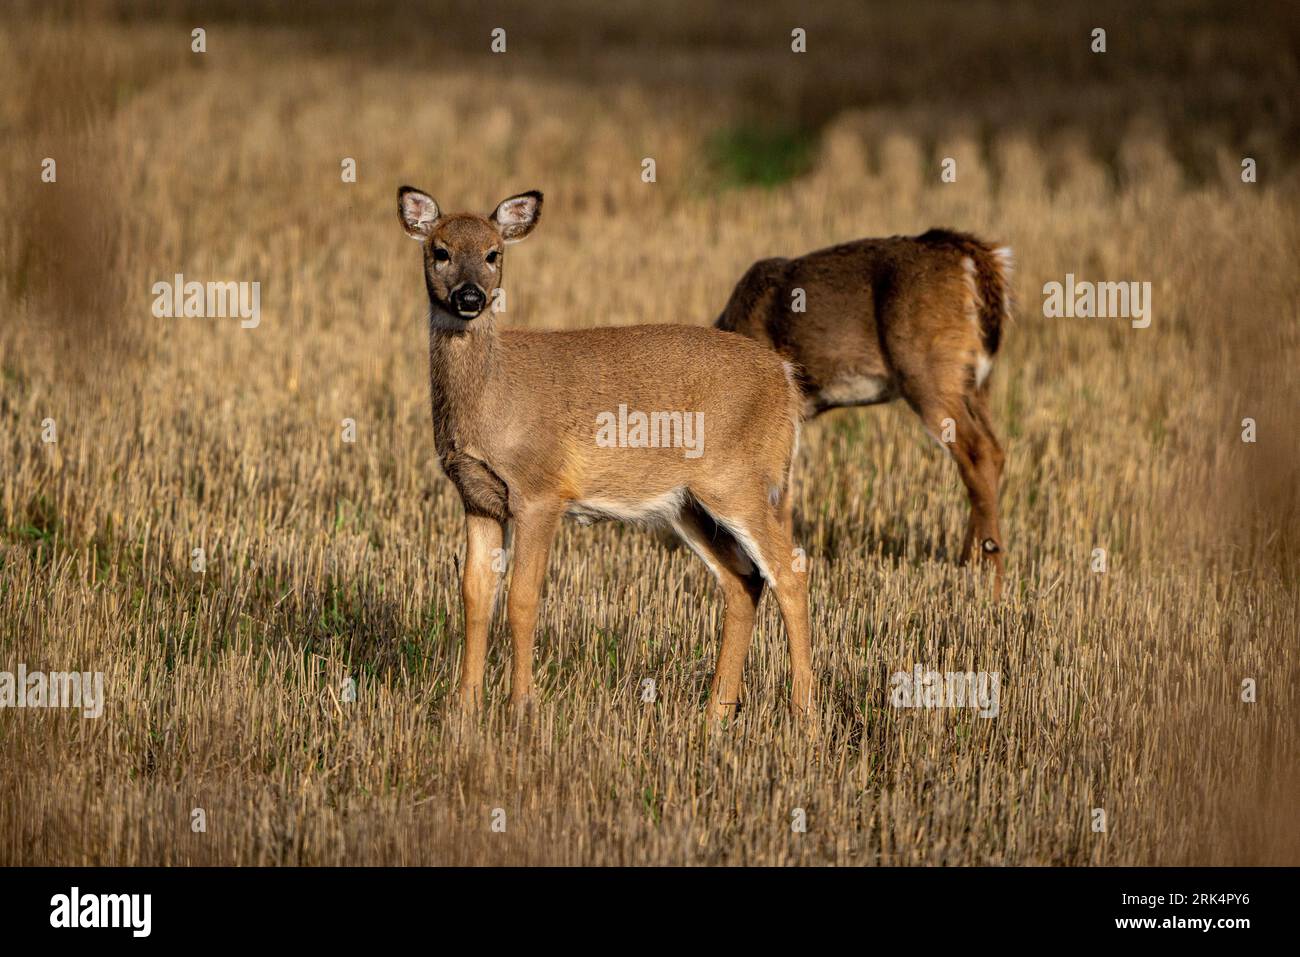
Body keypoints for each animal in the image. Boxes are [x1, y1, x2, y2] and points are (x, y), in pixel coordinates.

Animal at [397, 185, 812, 720]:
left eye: (494, 254)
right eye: (440, 251)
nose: (470, 297)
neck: (492, 394)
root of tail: (785, 378)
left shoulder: (540, 490)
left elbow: (522, 599)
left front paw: (521, 707)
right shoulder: (478, 496)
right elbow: (475, 594)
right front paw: (465, 708)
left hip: (739, 480)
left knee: (789, 572)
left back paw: (805, 716)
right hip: (688, 504)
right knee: (743, 582)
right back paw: (716, 714)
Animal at [715, 230, 1012, 597]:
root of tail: (974, 259)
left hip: (929, 372)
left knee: (978, 453)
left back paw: (992, 579)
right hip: (976, 382)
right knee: (992, 452)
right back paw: (968, 565)